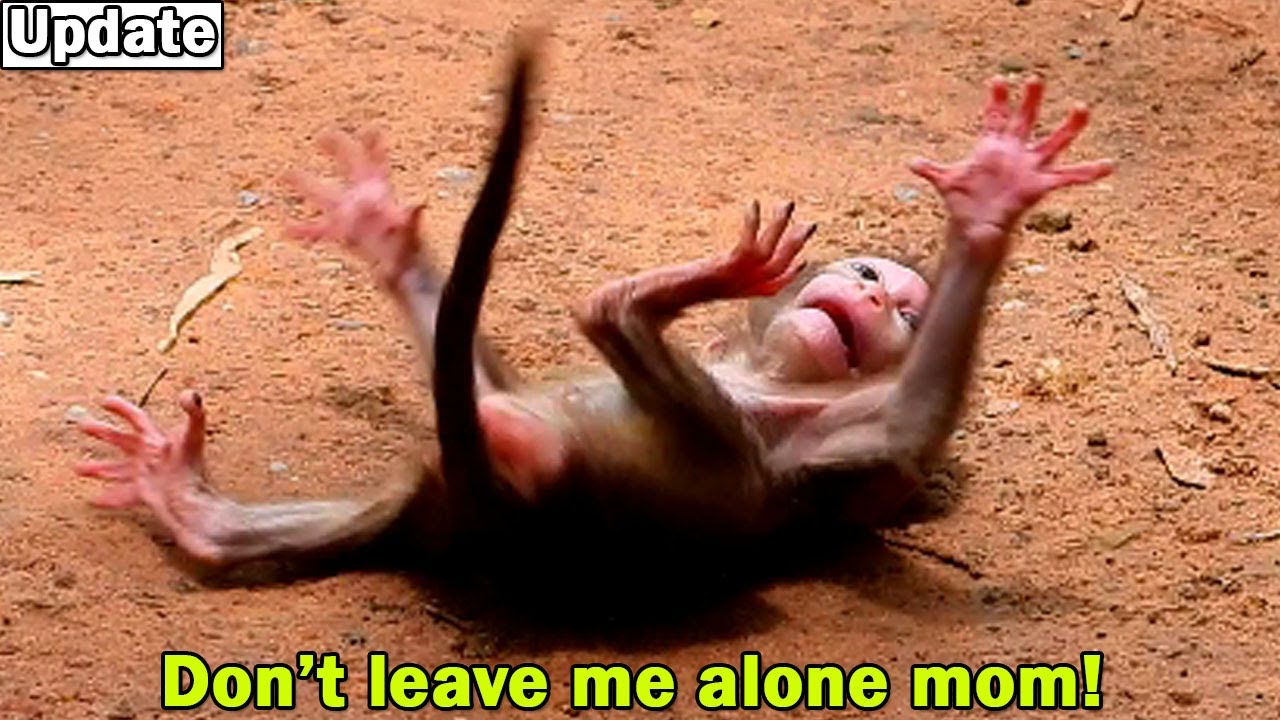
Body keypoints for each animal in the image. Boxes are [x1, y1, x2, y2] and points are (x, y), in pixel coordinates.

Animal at [72, 36, 1113, 575]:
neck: (769, 371)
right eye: (868, 275)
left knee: (667, 394)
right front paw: (384, 234)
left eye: (906, 306)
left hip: (660, 479)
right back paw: (195, 508)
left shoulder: (853, 456)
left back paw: (635, 300)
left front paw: (990, 204)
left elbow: (899, 432)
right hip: (436, 491)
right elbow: (485, 366)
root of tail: (501, 515)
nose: (877, 290)